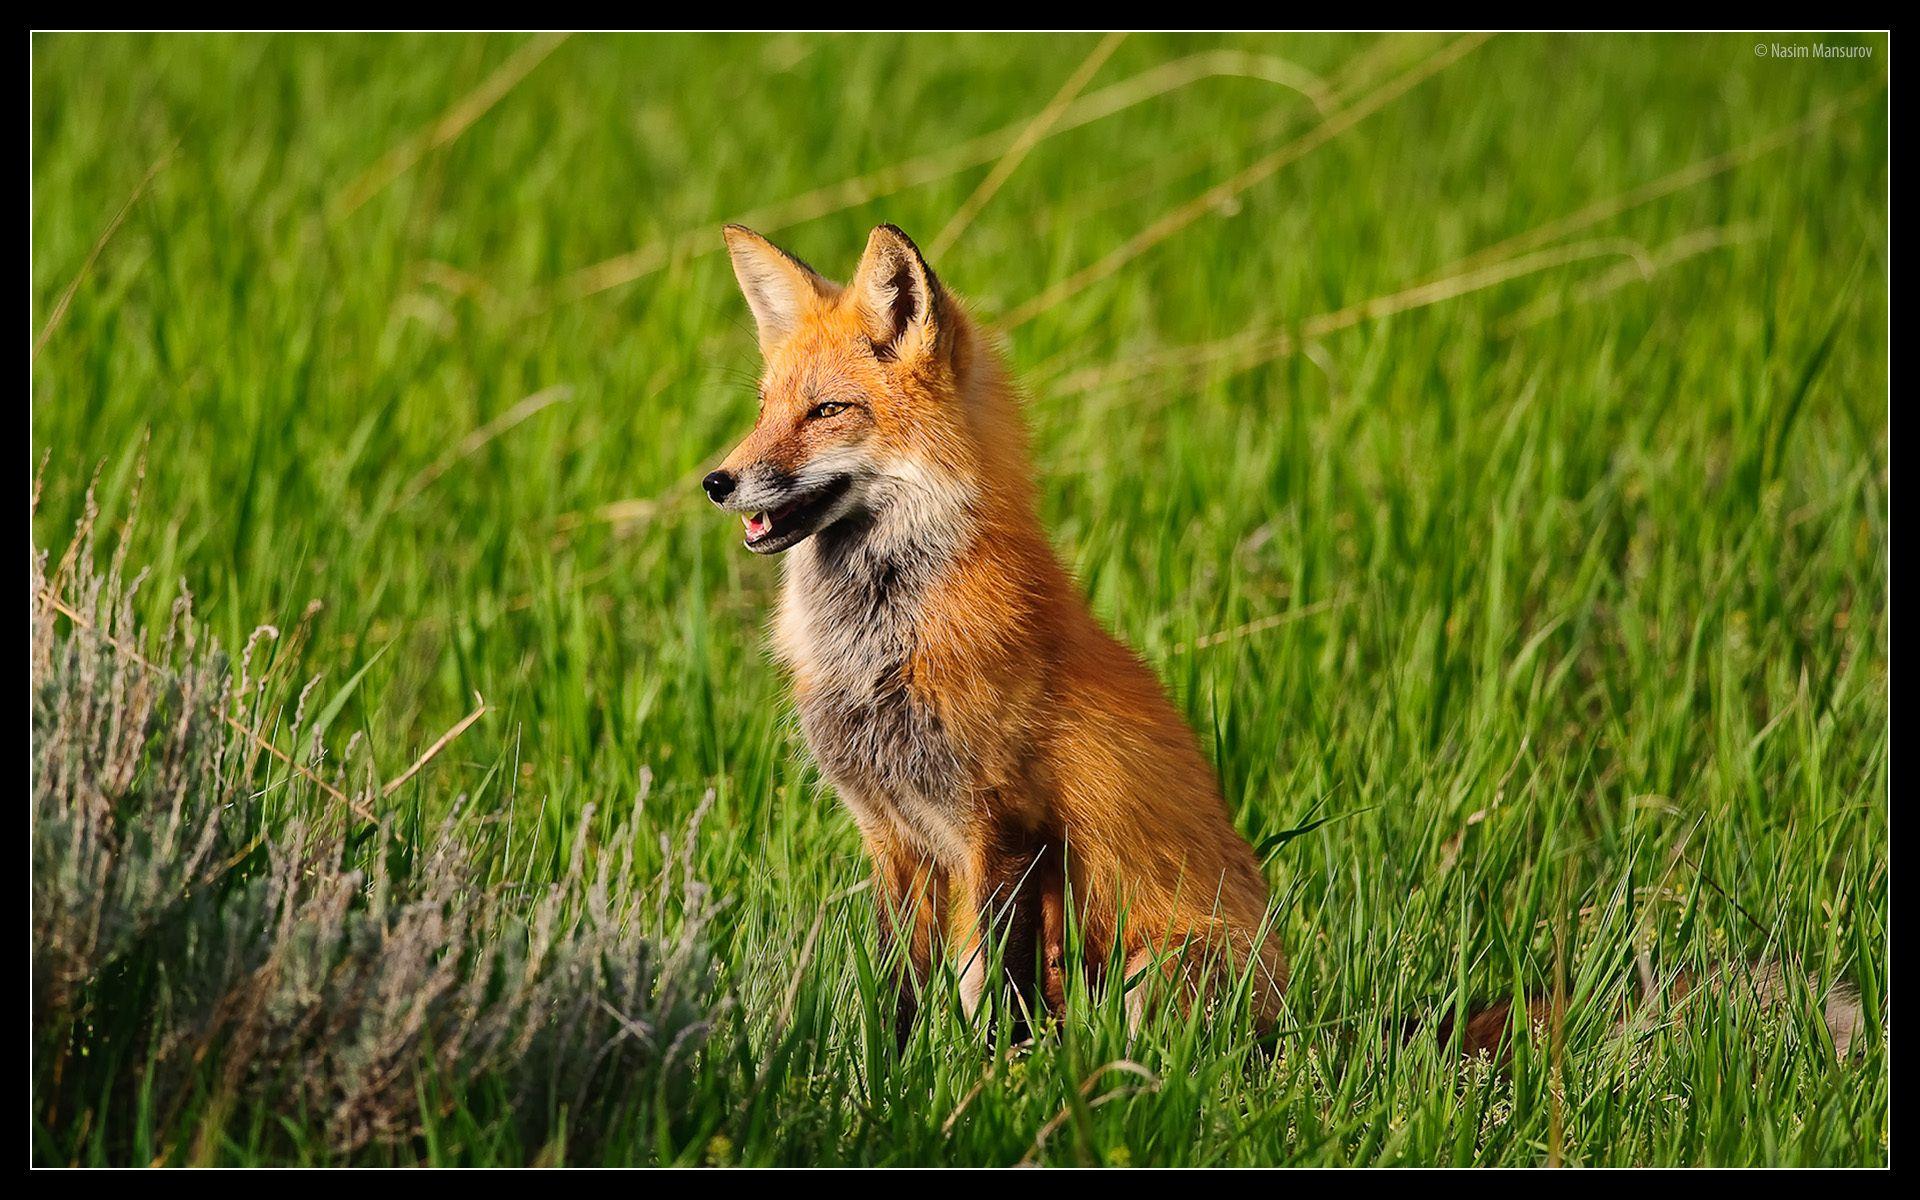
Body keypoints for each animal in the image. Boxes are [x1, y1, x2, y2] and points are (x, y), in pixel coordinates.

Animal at [703, 222, 1866, 1059]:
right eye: (763, 408)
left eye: (828, 412)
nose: (717, 480)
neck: (882, 643)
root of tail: (1299, 1033)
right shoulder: (896, 843)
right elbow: (900, 1008)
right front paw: (895, 1087)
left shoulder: (1008, 828)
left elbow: (996, 1006)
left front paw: (982, 1092)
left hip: (1162, 962)